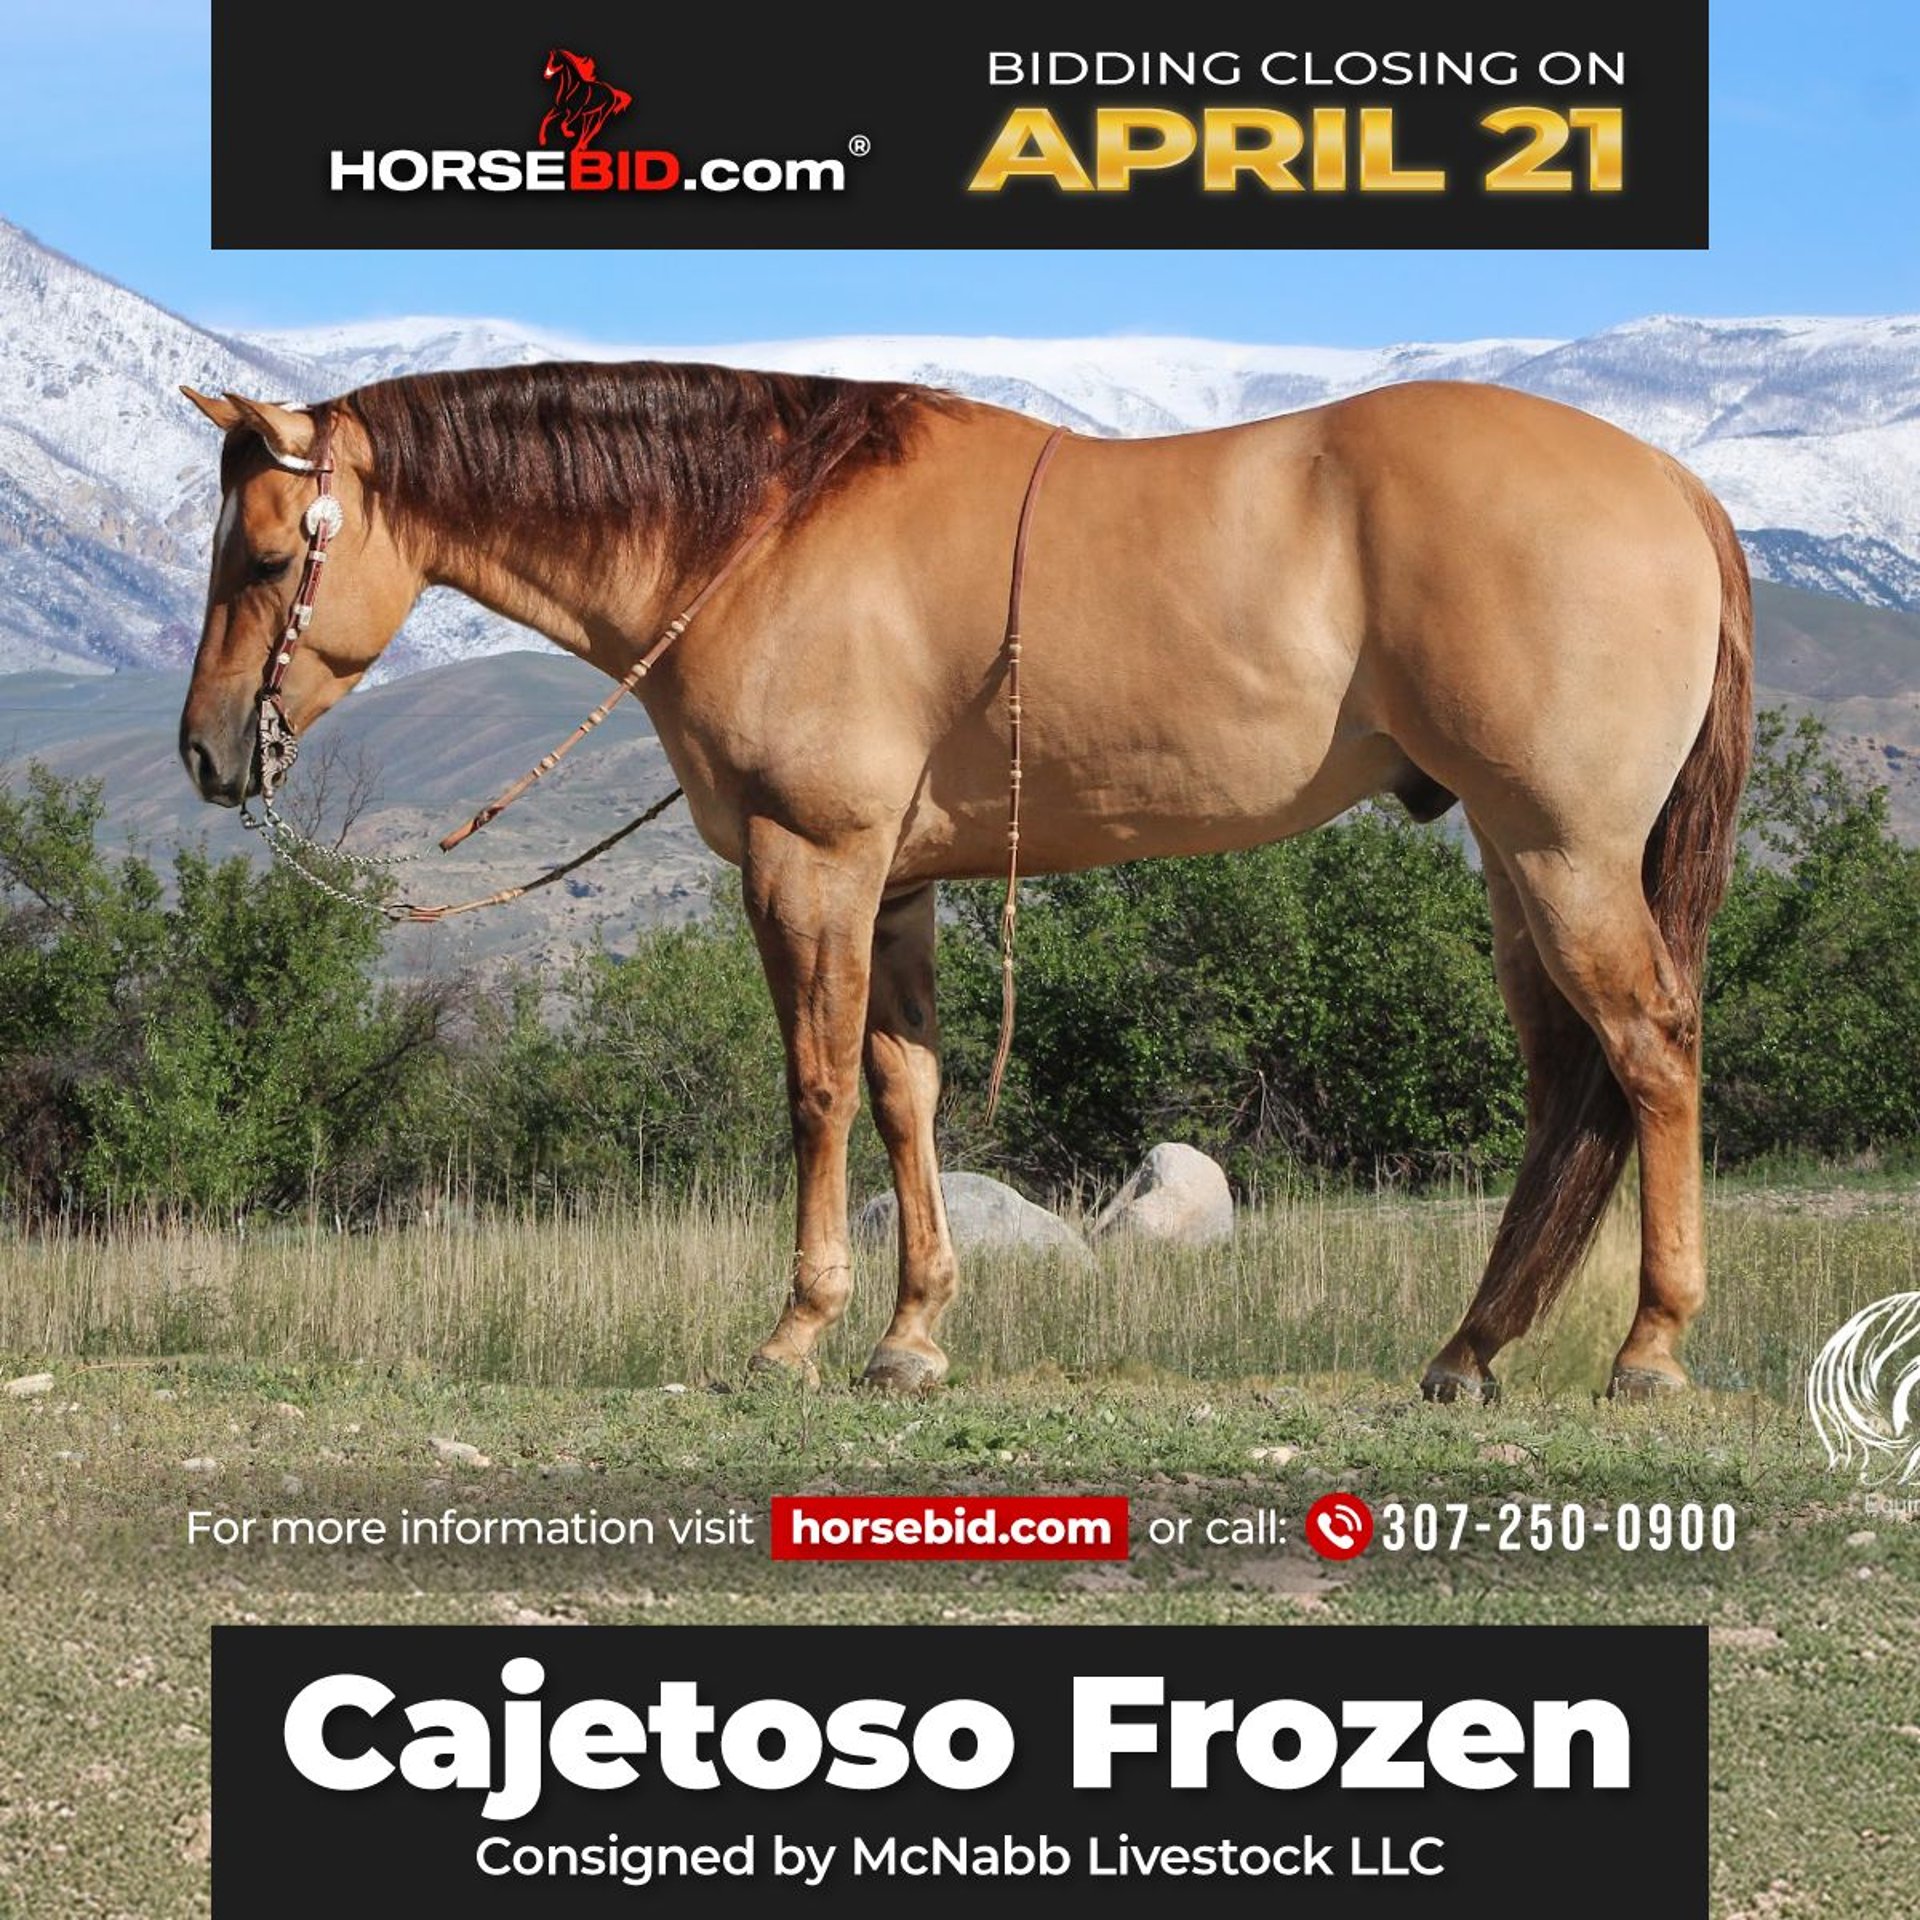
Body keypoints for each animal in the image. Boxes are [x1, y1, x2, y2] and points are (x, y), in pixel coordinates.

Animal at [176, 362, 1752, 1402]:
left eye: (260, 556)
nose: (206, 751)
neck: (762, 529)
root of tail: (1677, 487)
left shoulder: (808, 862)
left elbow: (817, 1091)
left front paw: (798, 1332)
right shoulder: (896, 885)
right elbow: (905, 1095)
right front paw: (910, 1335)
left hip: (1562, 851)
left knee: (1654, 1051)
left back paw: (1653, 1347)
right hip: (1519, 863)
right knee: (1567, 1090)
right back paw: (1471, 1351)